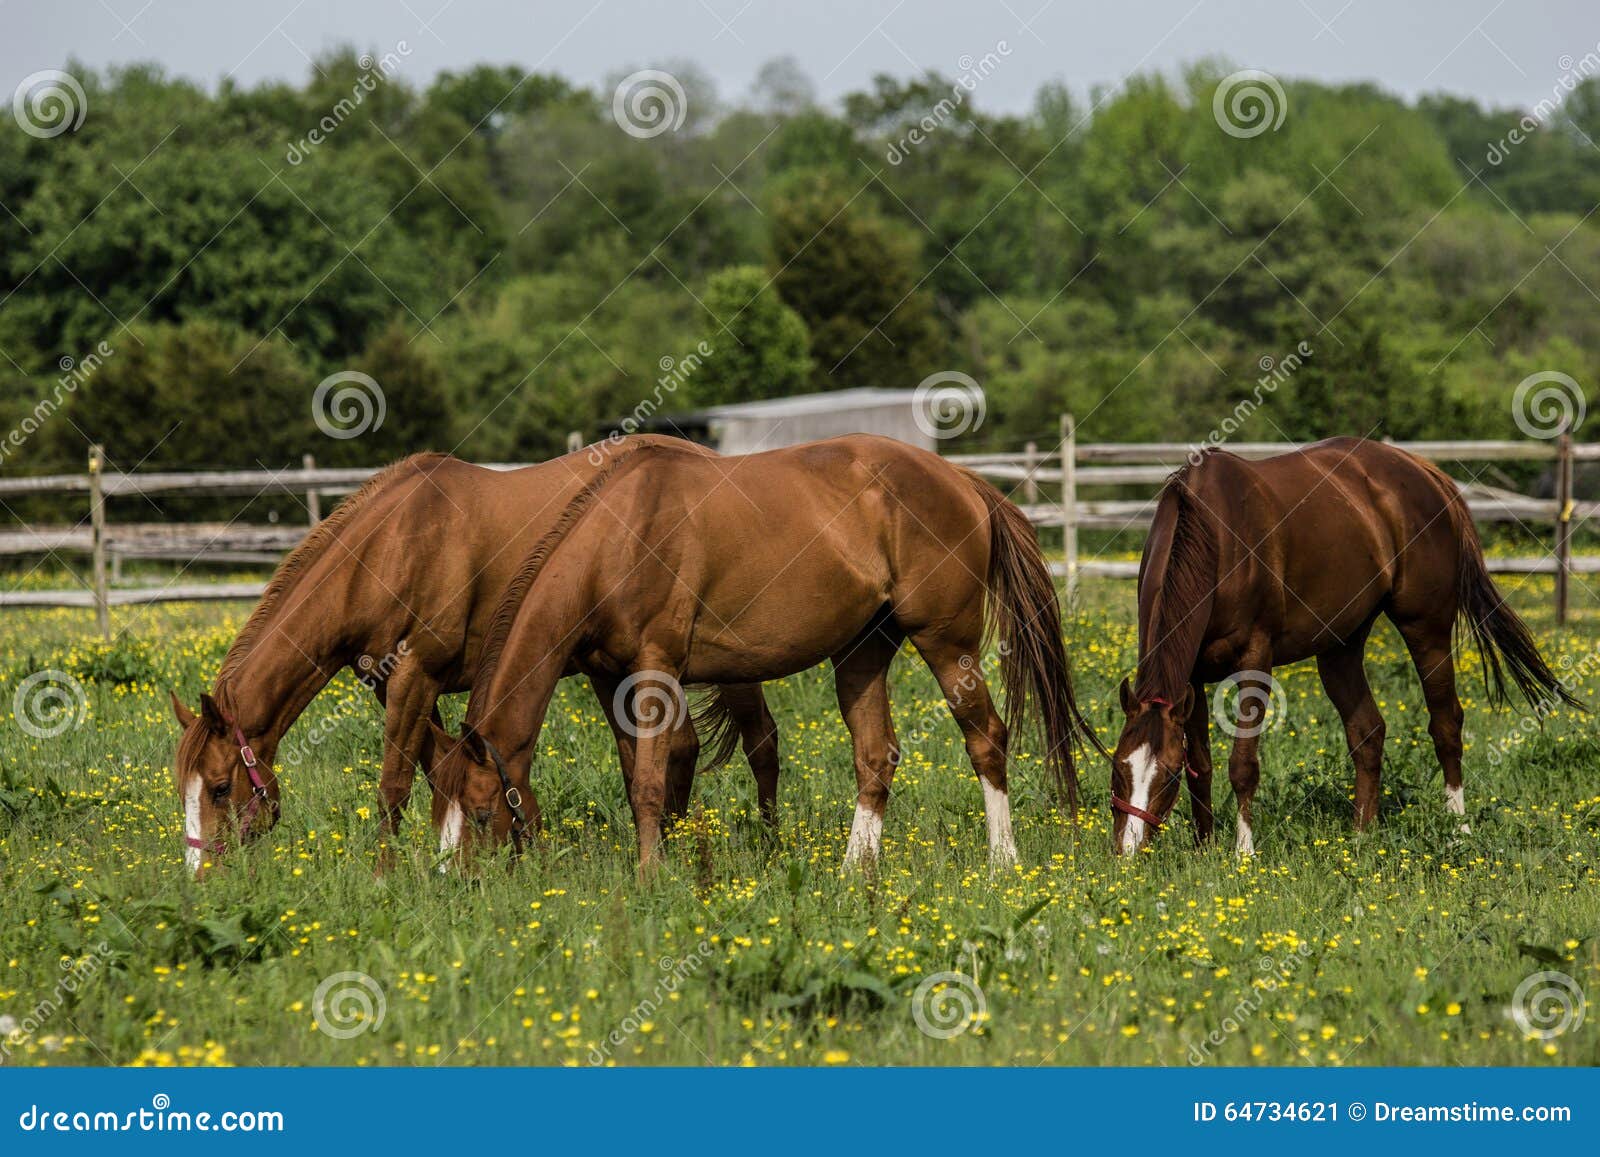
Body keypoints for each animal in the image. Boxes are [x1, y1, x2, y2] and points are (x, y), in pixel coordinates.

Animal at [170, 441, 782, 876]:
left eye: (220, 788)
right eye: (184, 790)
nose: (201, 875)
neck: (389, 550)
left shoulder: (417, 676)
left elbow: (394, 785)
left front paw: (384, 878)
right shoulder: (398, 687)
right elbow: (439, 771)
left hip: (728, 662)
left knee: (760, 743)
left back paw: (770, 852)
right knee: (680, 749)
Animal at [427, 434, 1097, 874]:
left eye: (482, 814)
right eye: (438, 810)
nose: (453, 883)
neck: (622, 537)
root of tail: (963, 481)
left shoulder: (654, 670)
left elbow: (648, 782)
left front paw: (651, 878)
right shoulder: (609, 678)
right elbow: (636, 774)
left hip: (946, 643)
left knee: (986, 738)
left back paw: (1002, 863)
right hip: (863, 653)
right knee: (875, 756)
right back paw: (853, 873)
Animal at [1109, 437, 1577, 856]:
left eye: (1166, 775)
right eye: (1117, 768)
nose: (1127, 852)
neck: (1215, 534)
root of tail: (1422, 471)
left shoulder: (1254, 661)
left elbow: (1242, 764)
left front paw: (1244, 852)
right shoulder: (1191, 680)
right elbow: (1202, 766)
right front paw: (1204, 848)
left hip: (1426, 627)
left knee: (1446, 724)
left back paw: (1457, 829)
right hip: (1340, 647)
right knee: (1367, 732)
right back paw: (1360, 835)